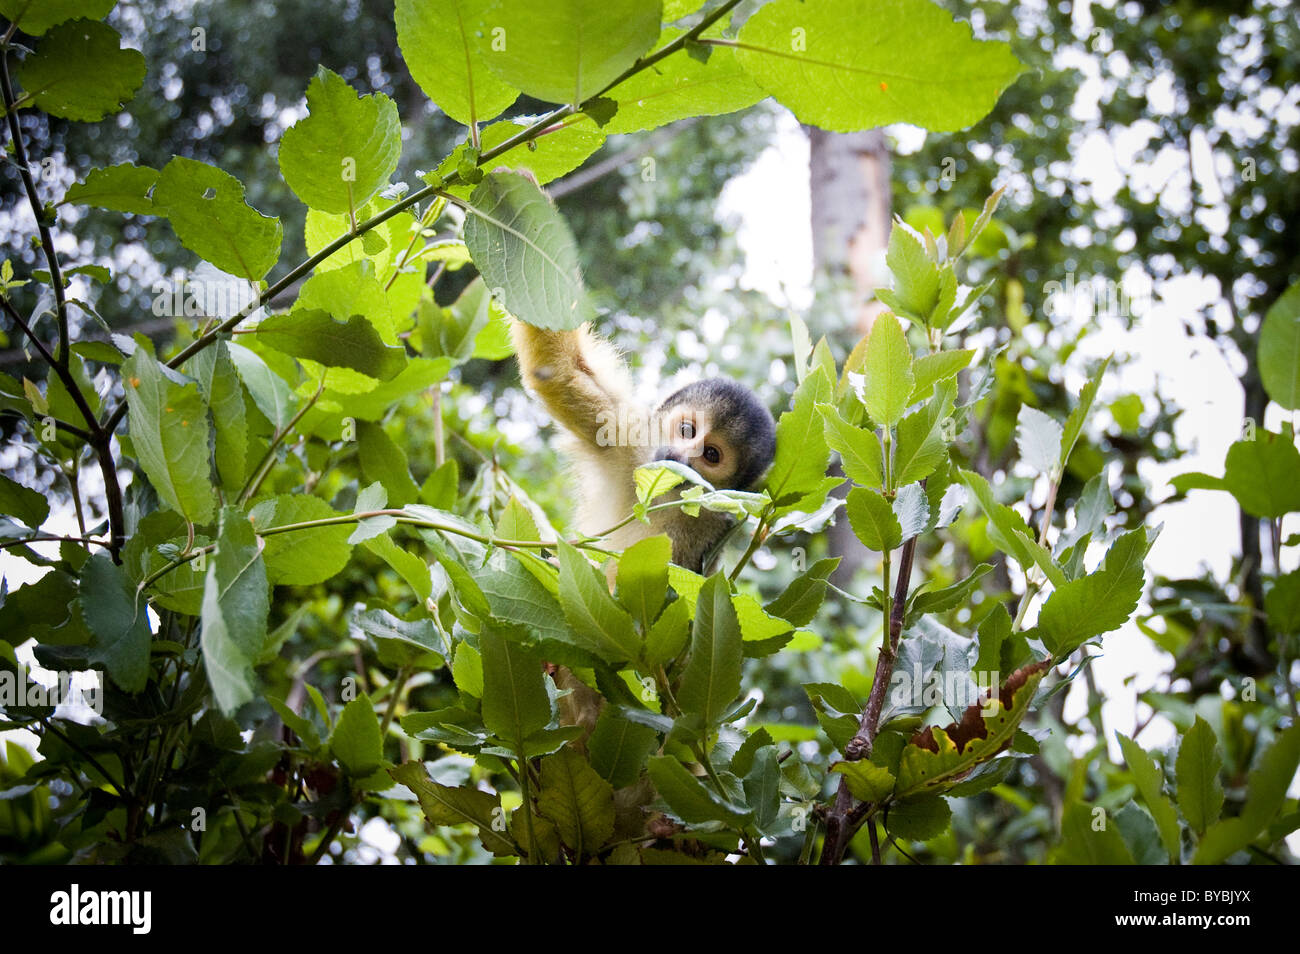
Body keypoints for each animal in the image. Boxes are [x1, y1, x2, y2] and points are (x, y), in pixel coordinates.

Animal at [510, 320, 776, 573]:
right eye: (687, 430)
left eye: (711, 454)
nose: (676, 456)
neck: (662, 497)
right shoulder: (627, 434)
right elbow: (562, 372)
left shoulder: (709, 530)